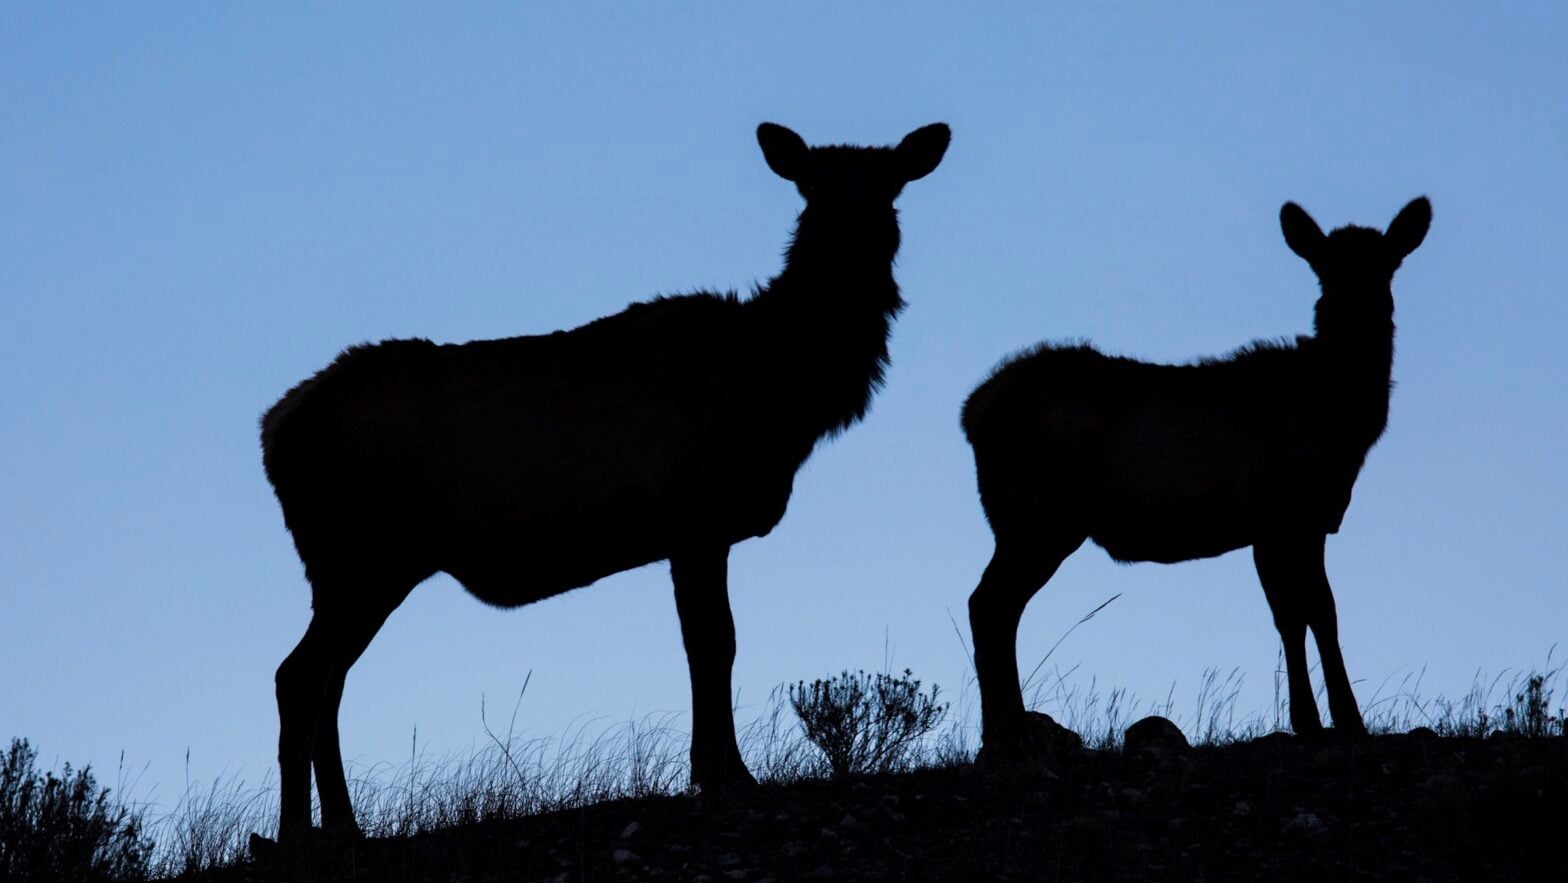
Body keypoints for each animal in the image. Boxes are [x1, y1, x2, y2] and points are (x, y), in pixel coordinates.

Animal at [256, 122, 949, 842]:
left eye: (891, 187)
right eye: (810, 188)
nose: (854, 238)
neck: (783, 391)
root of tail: (275, 429)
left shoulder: (697, 532)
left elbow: (711, 644)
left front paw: (716, 768)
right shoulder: (693, 517)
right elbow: (713, 642)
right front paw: (724, 773)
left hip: (361, 569)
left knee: (328, 683)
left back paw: (343, 826)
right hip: (355, 557)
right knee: (297, 677)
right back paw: (295, 833)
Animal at [960, 197, 1430, 760]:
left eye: (1387, 264)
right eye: (1323, 269)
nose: (1357, 306)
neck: (1338, 420)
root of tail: (973, 411)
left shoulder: (1281, 526)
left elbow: (1291, 616)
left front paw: (1310, 722)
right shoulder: (1286, 513)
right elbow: (1319, 610)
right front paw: (1344, 722)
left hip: (1026, 521)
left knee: (996, 607)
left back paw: (1000, 732)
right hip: (1037, 516)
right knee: (989, 604)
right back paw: (1006, 732)